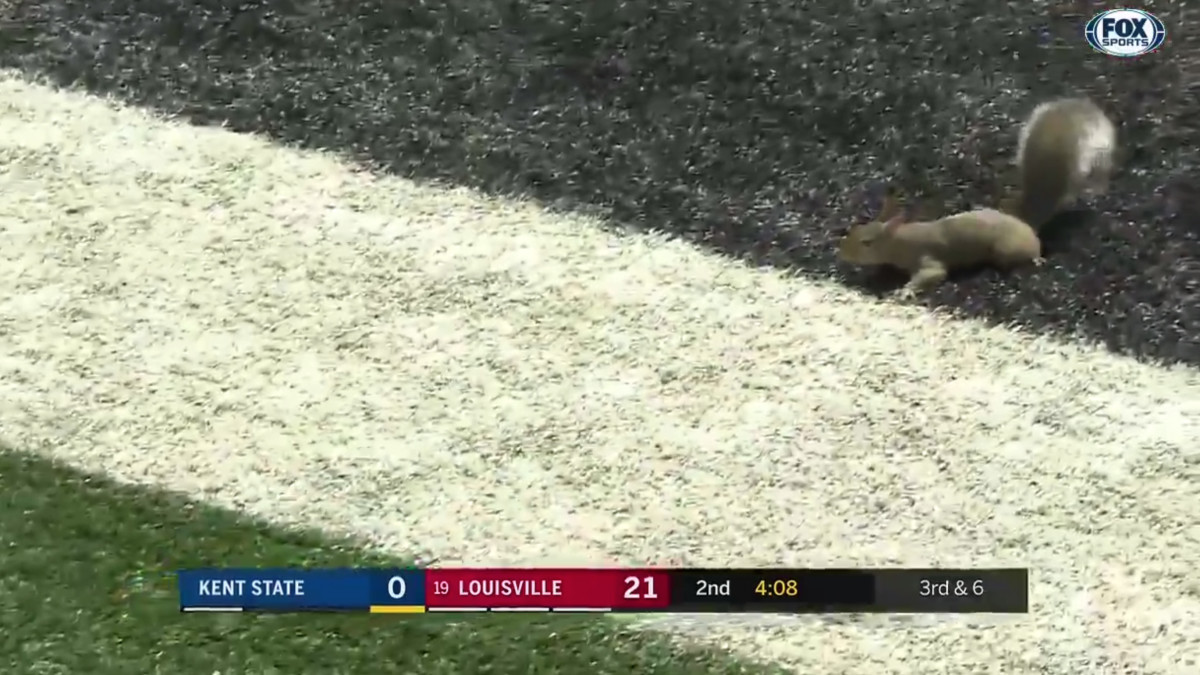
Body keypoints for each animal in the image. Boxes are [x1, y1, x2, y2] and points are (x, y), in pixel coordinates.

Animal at [837, 97, 1116, 297]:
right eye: (856, 228)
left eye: (867, 243)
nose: (843, 252)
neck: (901, 239)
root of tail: (1025, 224)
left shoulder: (928, 258)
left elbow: (934, 273)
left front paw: (905, 291)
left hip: (1006, 249)